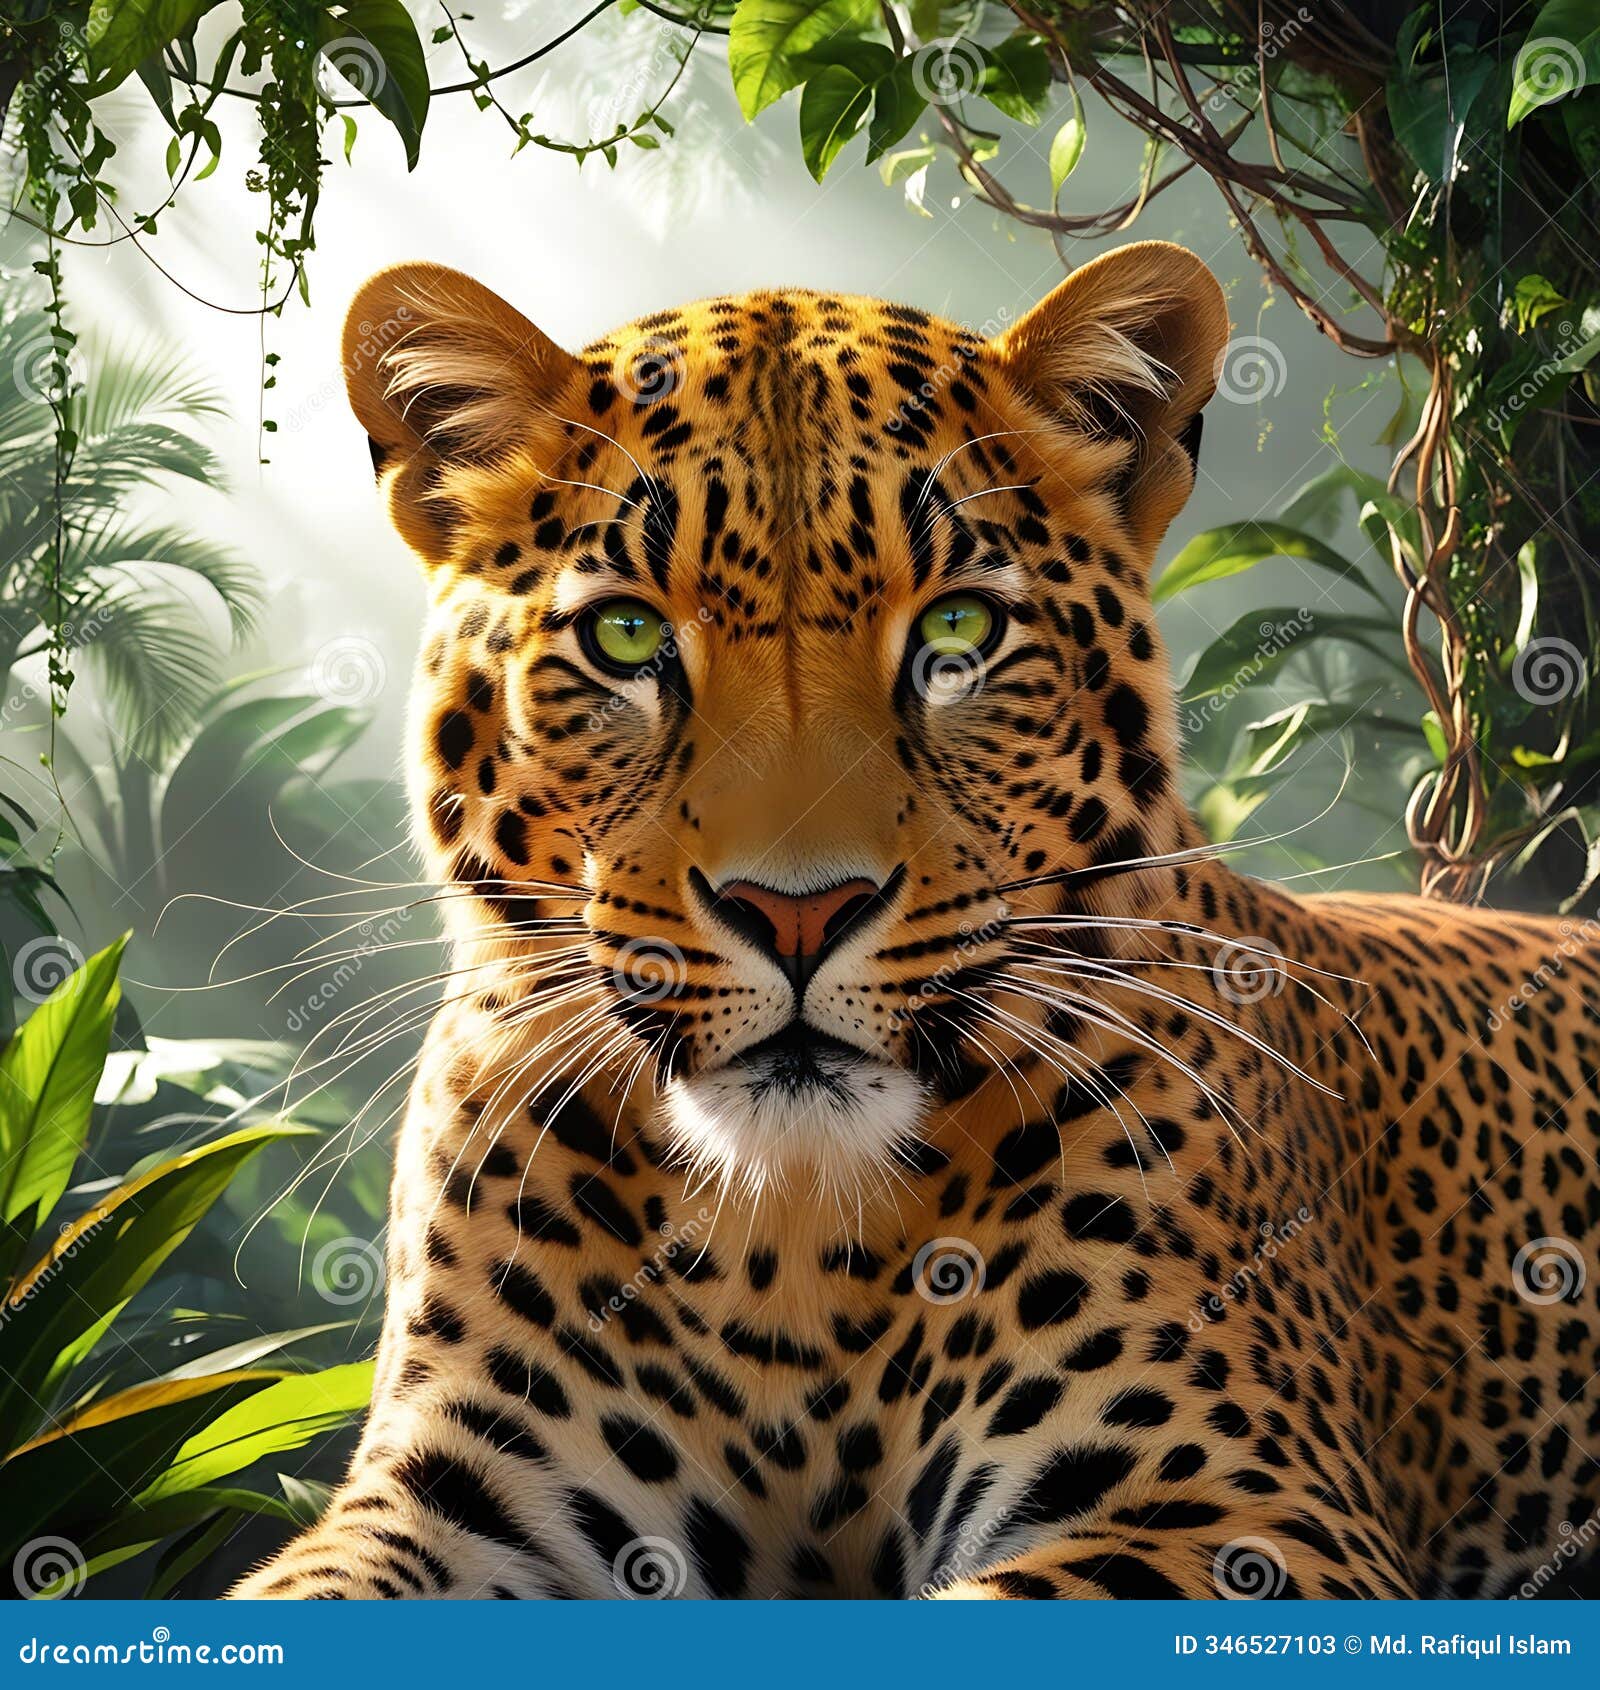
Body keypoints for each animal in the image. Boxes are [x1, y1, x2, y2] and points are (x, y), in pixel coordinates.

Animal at [232, 242, 1600, 1600]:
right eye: (624, 634)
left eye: (957, 630)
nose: (796, 913)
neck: (786, 1248)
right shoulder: (454, 1487)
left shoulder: (1242, 1510)